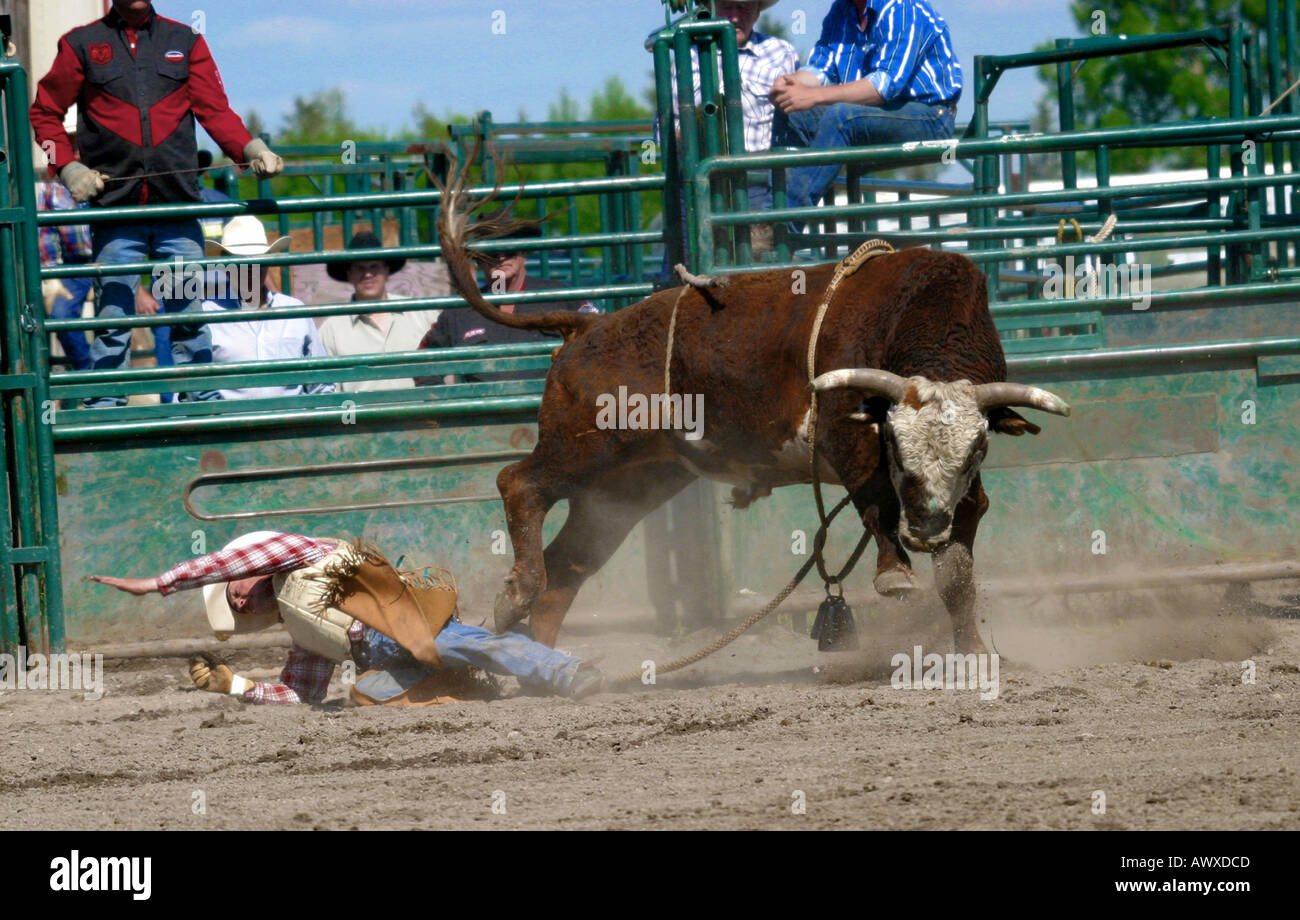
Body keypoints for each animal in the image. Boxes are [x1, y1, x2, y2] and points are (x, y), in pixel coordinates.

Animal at [434, 162, 1070, 655]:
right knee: (520, 485)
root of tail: (585, 326)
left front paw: (973, 652)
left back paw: (539, 662)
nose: (929, 526)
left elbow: (959, 572)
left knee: (570, 563)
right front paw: (893, 575)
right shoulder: (846, 436)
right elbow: (878, 503)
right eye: (892, 440)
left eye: (978, 447)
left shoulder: (963, 496)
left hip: (630, 483)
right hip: (588, 443)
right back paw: (515, 593)